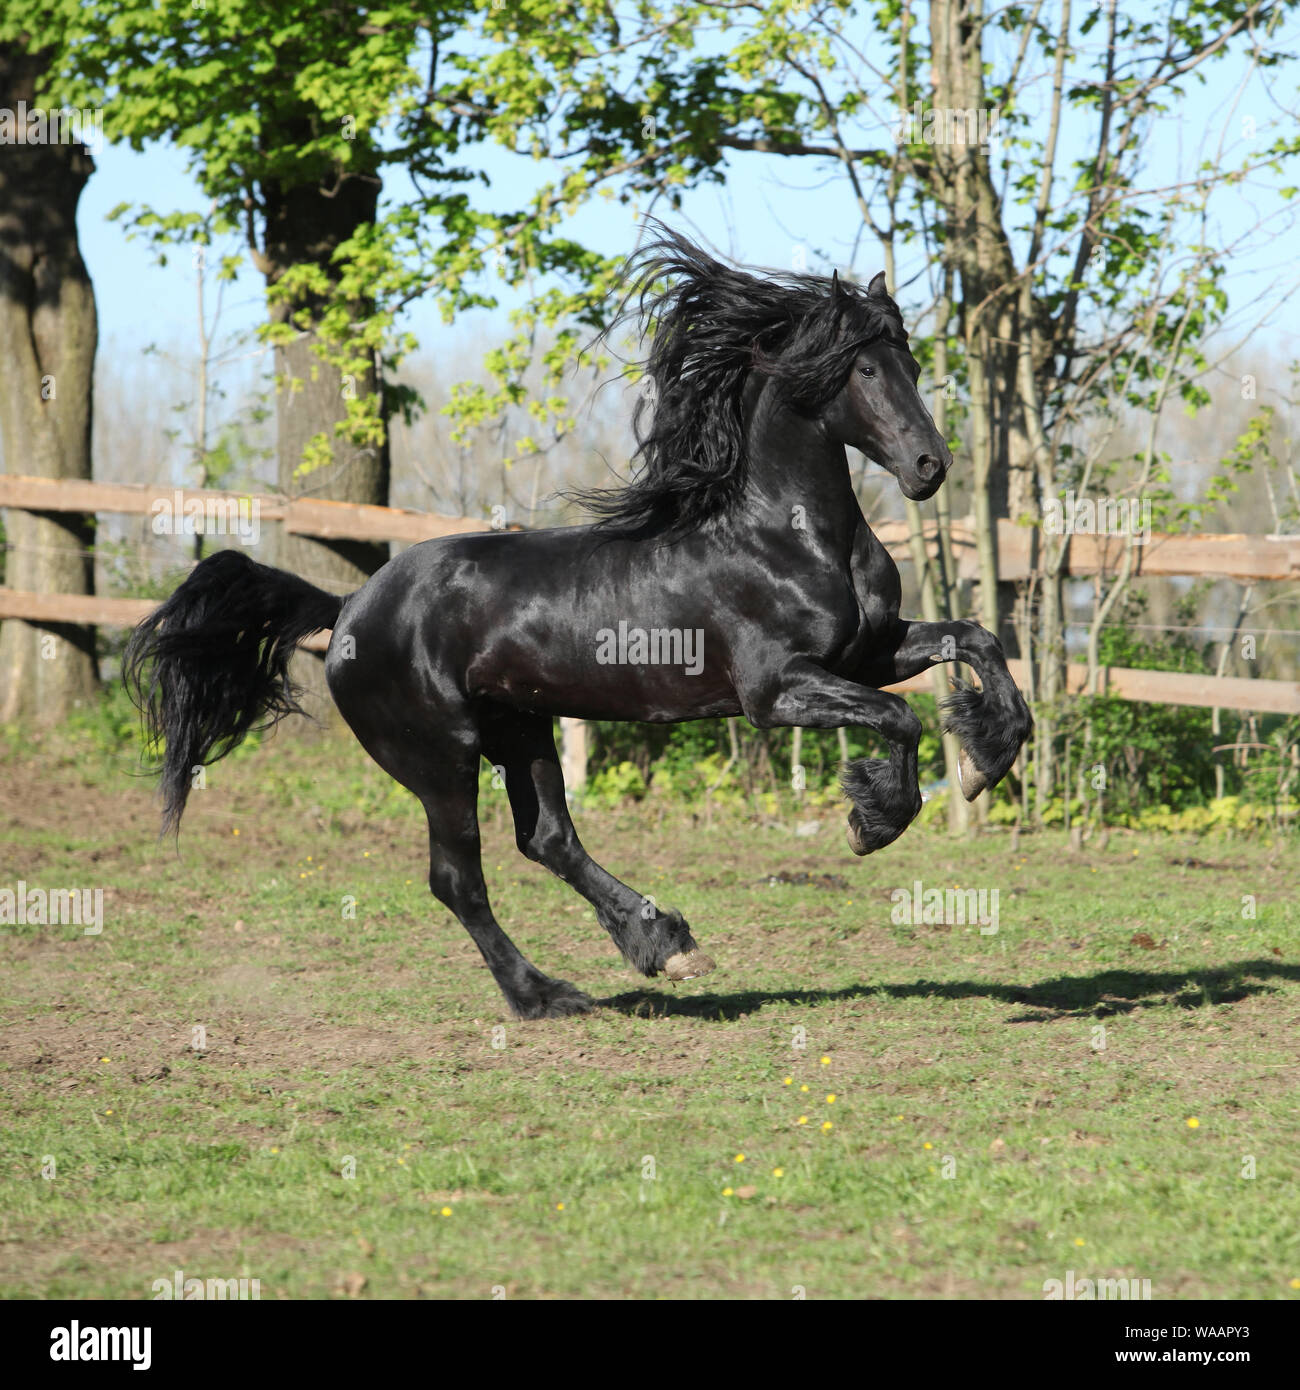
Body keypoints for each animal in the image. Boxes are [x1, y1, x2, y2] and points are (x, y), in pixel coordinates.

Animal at [124, 227, 1033, 1020]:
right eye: (864, 368)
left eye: (908, 360)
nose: (929, 467)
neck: (788, 536)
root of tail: (348, 610)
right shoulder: (776, 691)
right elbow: (899, 718)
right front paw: (873, 822)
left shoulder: (869, 651)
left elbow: (975, 640)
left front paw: (986, 758)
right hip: (440, 757)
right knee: (461, 880)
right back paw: (544, 995)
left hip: (521, 729)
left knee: (549, 840)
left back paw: (664, 945)